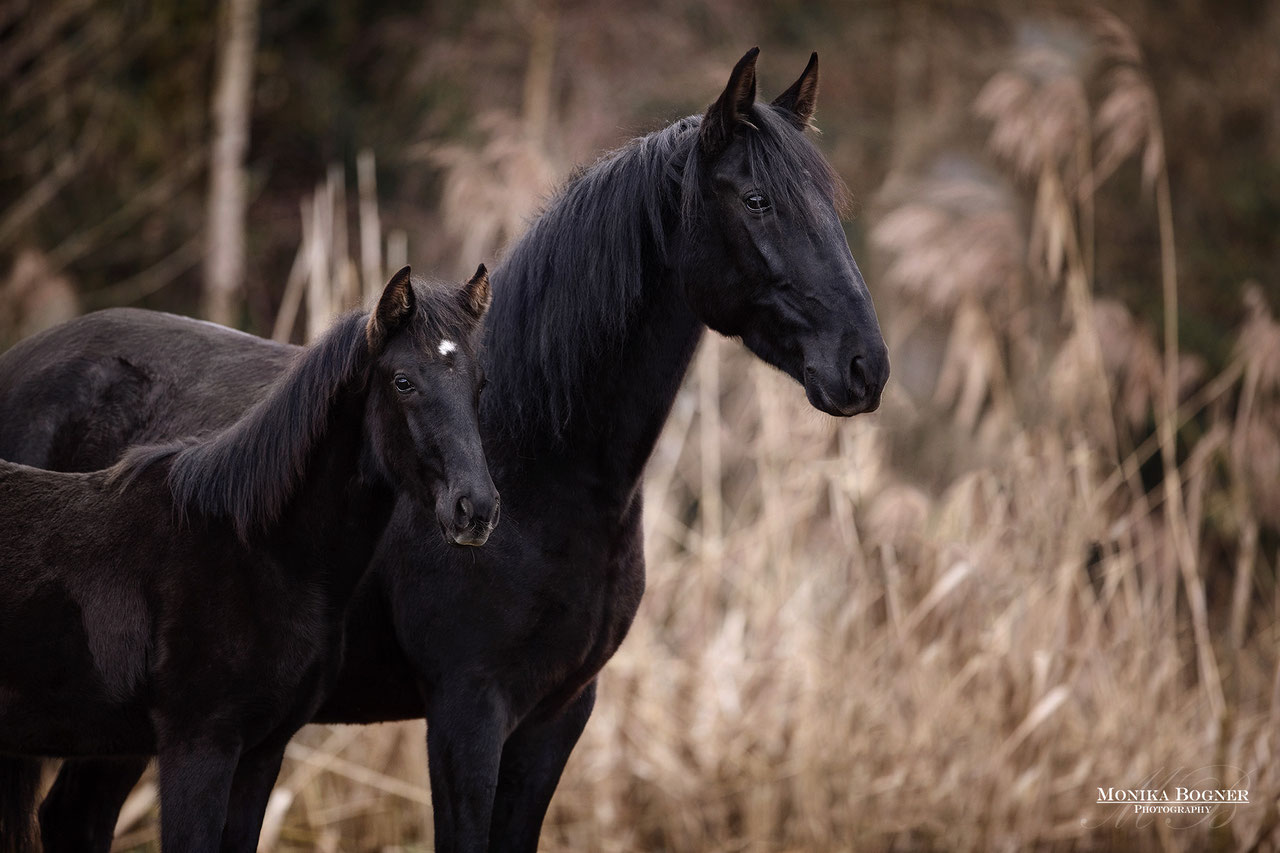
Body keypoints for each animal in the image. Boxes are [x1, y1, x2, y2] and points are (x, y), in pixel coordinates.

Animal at [0, 267, 497, 853]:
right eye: (403, 382)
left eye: (479, 385)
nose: (476, 510)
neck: (257, 552)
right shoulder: (199, 748)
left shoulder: (263, 754)